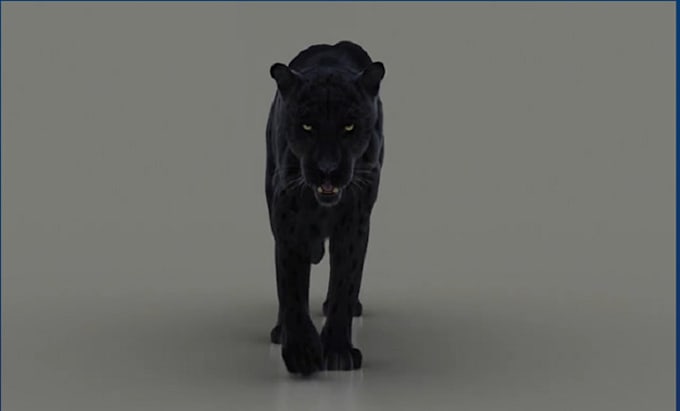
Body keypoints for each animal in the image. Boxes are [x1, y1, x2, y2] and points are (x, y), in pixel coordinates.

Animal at [265, 40, 385, 375]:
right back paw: (280, 331)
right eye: (307, 126)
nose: (327, 169)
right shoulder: (288, 221)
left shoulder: (355, 223)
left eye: (349, 126)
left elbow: (345, 280)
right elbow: (291, 285)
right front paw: (302, 353)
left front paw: (338, 352)